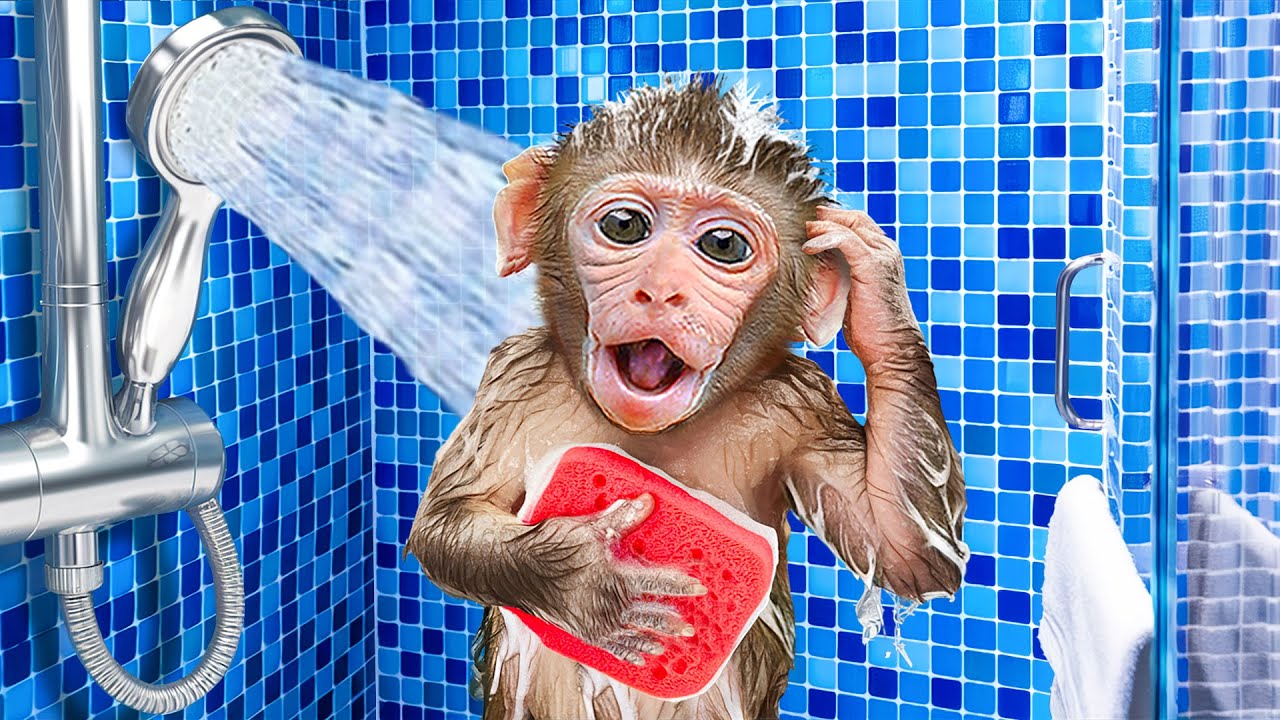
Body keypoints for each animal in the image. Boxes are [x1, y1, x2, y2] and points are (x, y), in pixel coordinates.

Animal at [406, 78, 968, 720]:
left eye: (722, 244)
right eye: (626, 226)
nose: (661, 290)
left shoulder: (802, 407)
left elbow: (904, 550)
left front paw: (877, 290)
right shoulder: (511, 382)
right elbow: (447, 522)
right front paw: (587, 582)